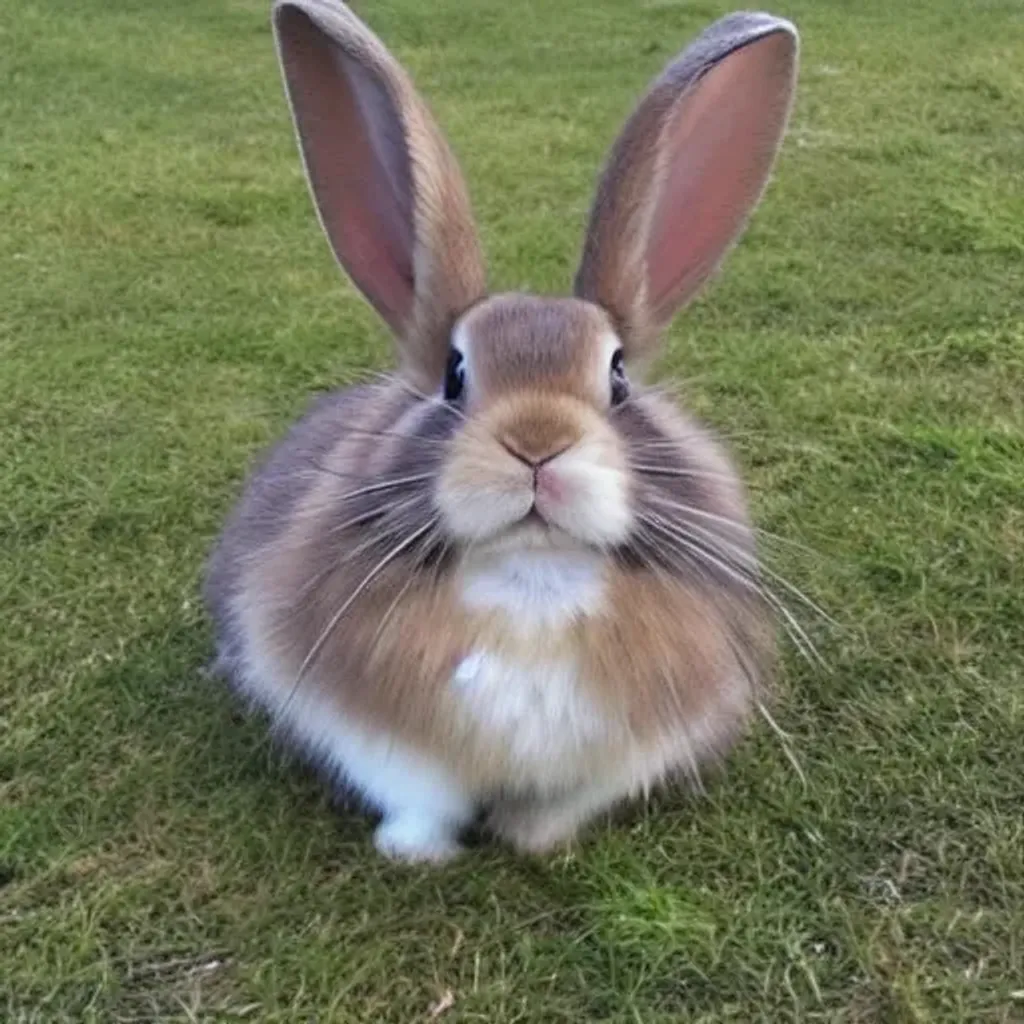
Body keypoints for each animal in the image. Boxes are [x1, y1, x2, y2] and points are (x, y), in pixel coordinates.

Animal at [204, 0, 799, 863]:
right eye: (455, 375)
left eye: (618, 376)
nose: (537, 444)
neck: (533, 578)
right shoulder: (384, 744)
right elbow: (420, 799)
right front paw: (412, 854)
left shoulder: (617, 757)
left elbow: (561, 805)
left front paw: (534, 842)